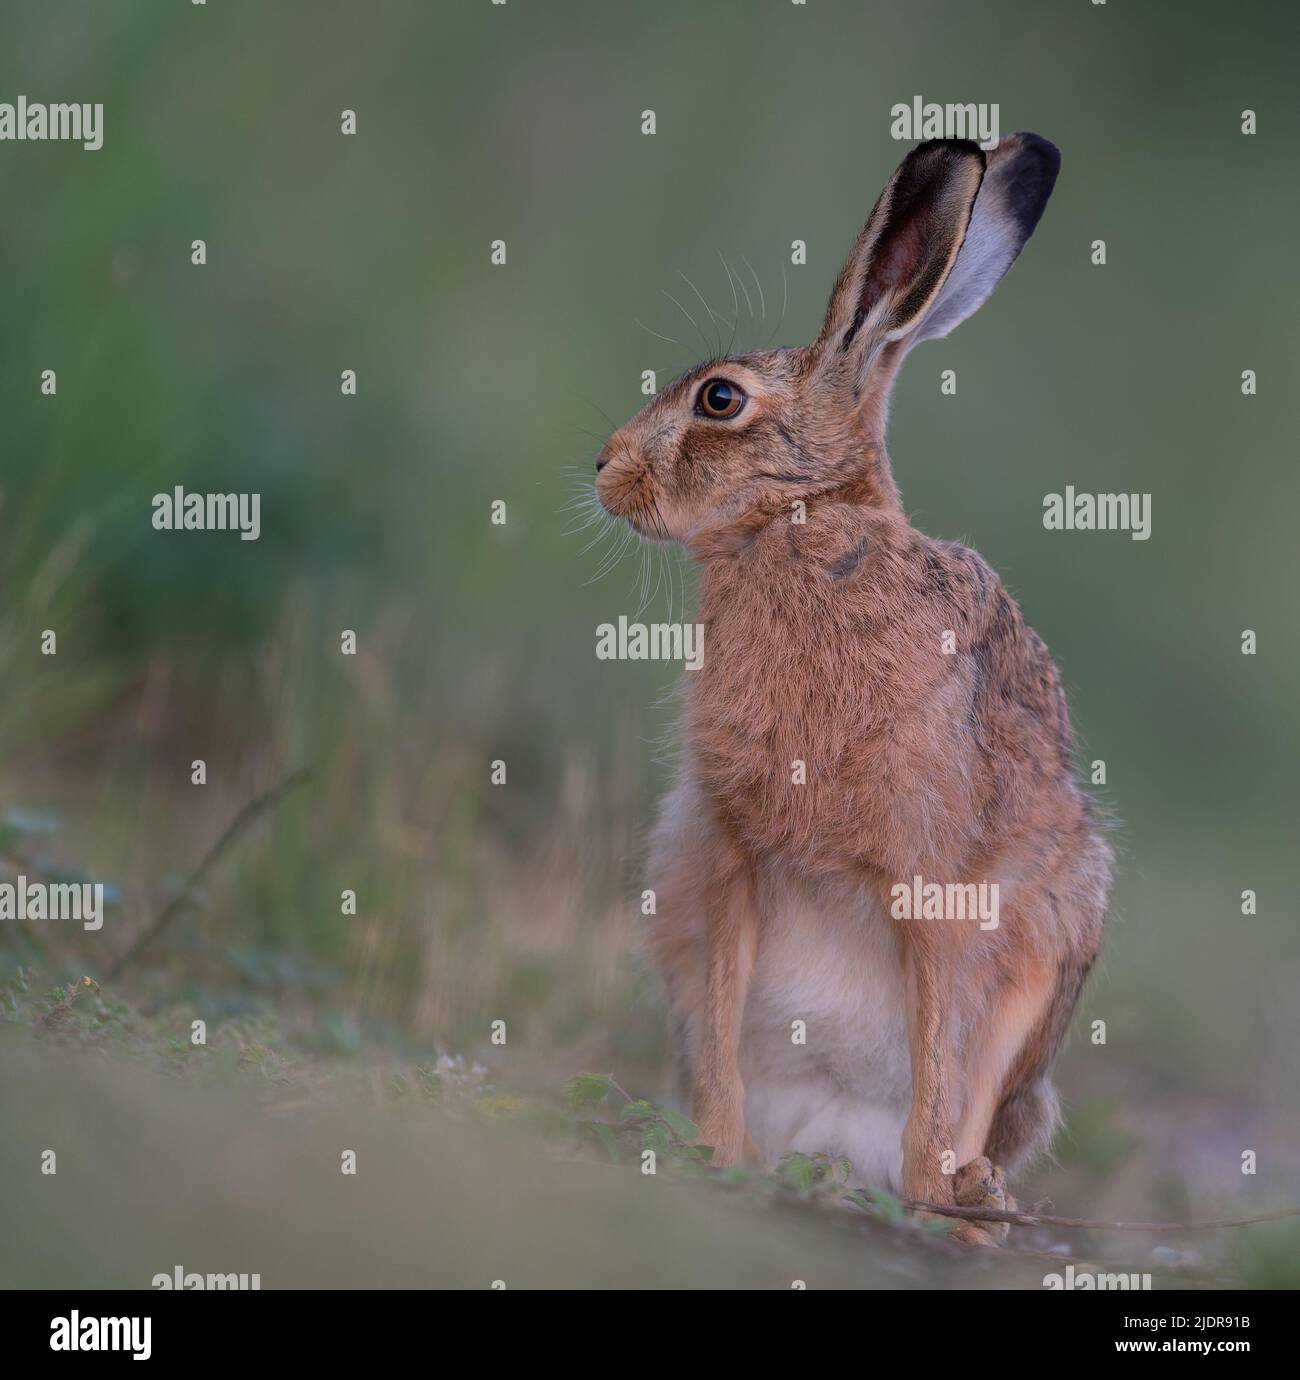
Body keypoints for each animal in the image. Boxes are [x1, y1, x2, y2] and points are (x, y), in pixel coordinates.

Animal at [594, 135, 1110, 1244]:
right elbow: (724, 1017)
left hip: (1047, 953)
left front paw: (933, 1194)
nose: (603, 467)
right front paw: (718, 1156)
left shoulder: (934, 875)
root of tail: (837, 1132)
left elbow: (938, 1060)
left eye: (719, 400)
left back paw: (954, 1209)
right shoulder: (728, 850)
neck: (803, 525)